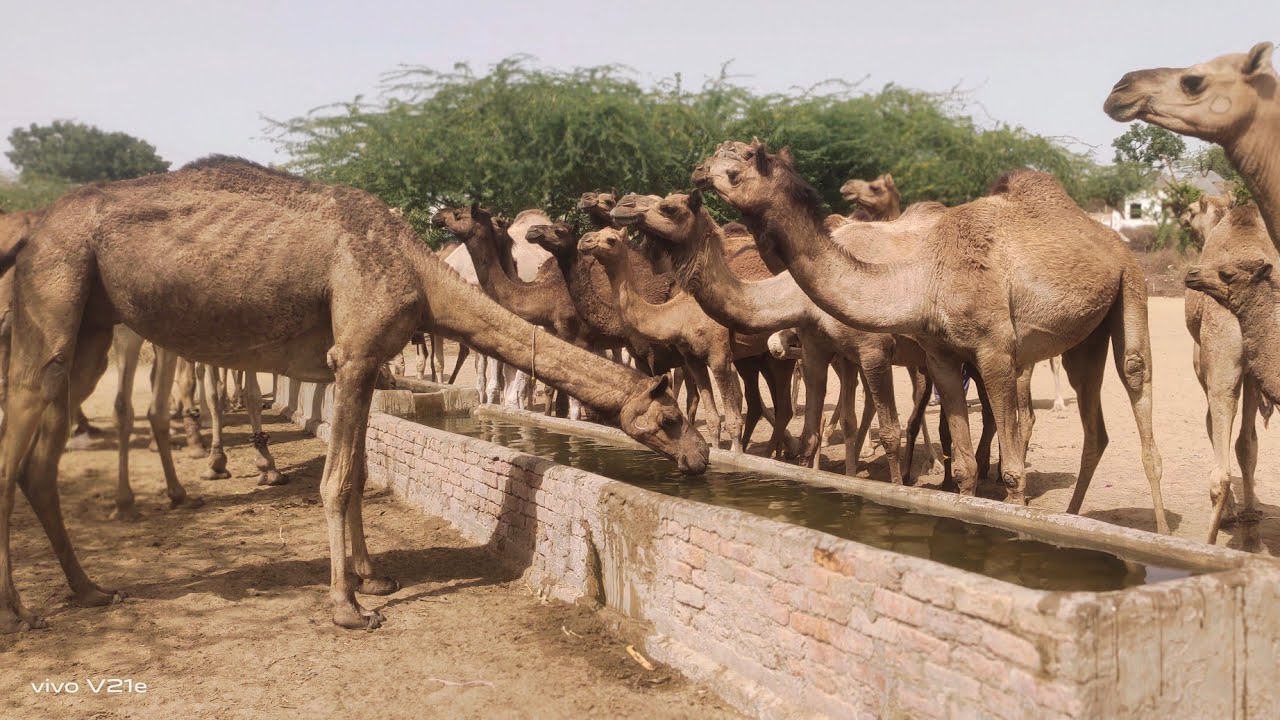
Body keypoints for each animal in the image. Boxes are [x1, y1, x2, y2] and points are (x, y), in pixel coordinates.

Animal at [0, 156, 707, 634]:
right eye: (670, 415)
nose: (699, 457)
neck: (423, 276)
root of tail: (34, 225)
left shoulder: (368, 360)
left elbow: (362, 469)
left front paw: (374, 576)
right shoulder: (354, 354)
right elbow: (338, 477)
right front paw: (348, 606)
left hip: (90, 326)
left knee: (45, 451)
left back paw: (90, 590)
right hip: (55, 291)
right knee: (22, 435)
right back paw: (21, 612)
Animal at [578, 226, 745, 450]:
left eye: (611, 239)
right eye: (597, 231)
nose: (584, 240)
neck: (678, 313)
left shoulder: (719, 356)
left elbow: (733, 421)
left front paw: (737, 455)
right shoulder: (693, 359)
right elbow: (713, 420)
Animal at [693, 141, 1168, 533]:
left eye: (741, 160)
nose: (698, 170)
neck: (925, 276)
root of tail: (1110, 238)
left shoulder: (992, 351)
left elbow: (1013, 469)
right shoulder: (939, 354)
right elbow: (960, 463)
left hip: (1129, 285)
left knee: (1134, 379)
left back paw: (1161, 529)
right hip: (1084, 337)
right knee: (1093, 421)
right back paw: (1071, 515)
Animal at [1183, 204, 1277, 542]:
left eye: (1190, 212)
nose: (1191, 273)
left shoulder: (1204, 365)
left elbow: (1212, 425)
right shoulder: (1255, 371)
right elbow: (1248, 443)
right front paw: (1251, 509)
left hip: (1218, 358)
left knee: (1220, 472)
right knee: (1246, 441)